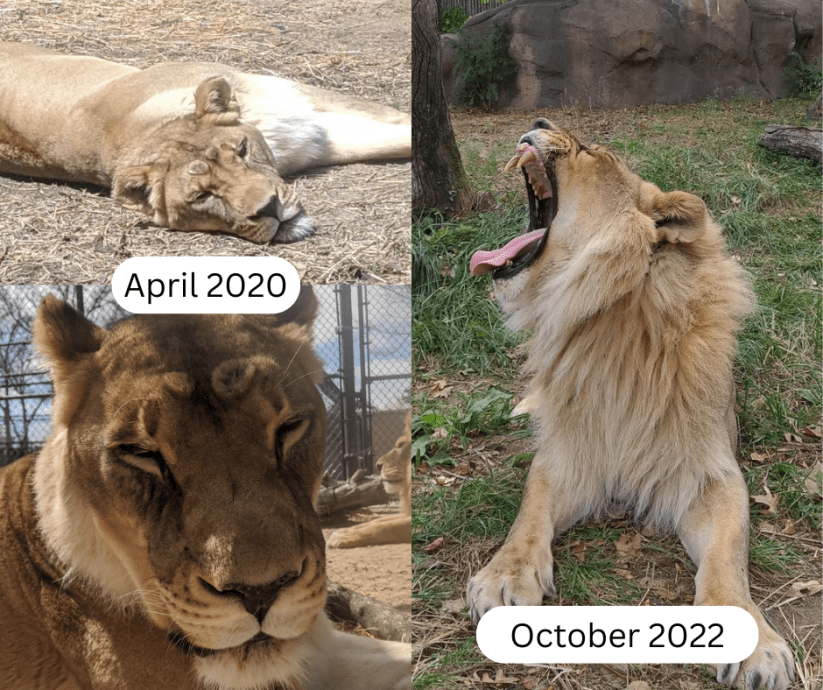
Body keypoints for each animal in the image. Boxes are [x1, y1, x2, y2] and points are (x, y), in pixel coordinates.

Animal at [327, 412, 412, 549]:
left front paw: (344, 537)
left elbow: (386, 526)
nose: (378, 465)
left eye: (401, 444)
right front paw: (344, 531)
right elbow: (377, 521)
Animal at [467, 119, 794, 690]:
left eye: (591, 151)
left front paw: (754, 640)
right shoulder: (570, 453)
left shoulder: (709, 473)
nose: (542, 124)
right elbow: (528, 512)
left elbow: (728, 555)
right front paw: (505, 576)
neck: (607, 315)